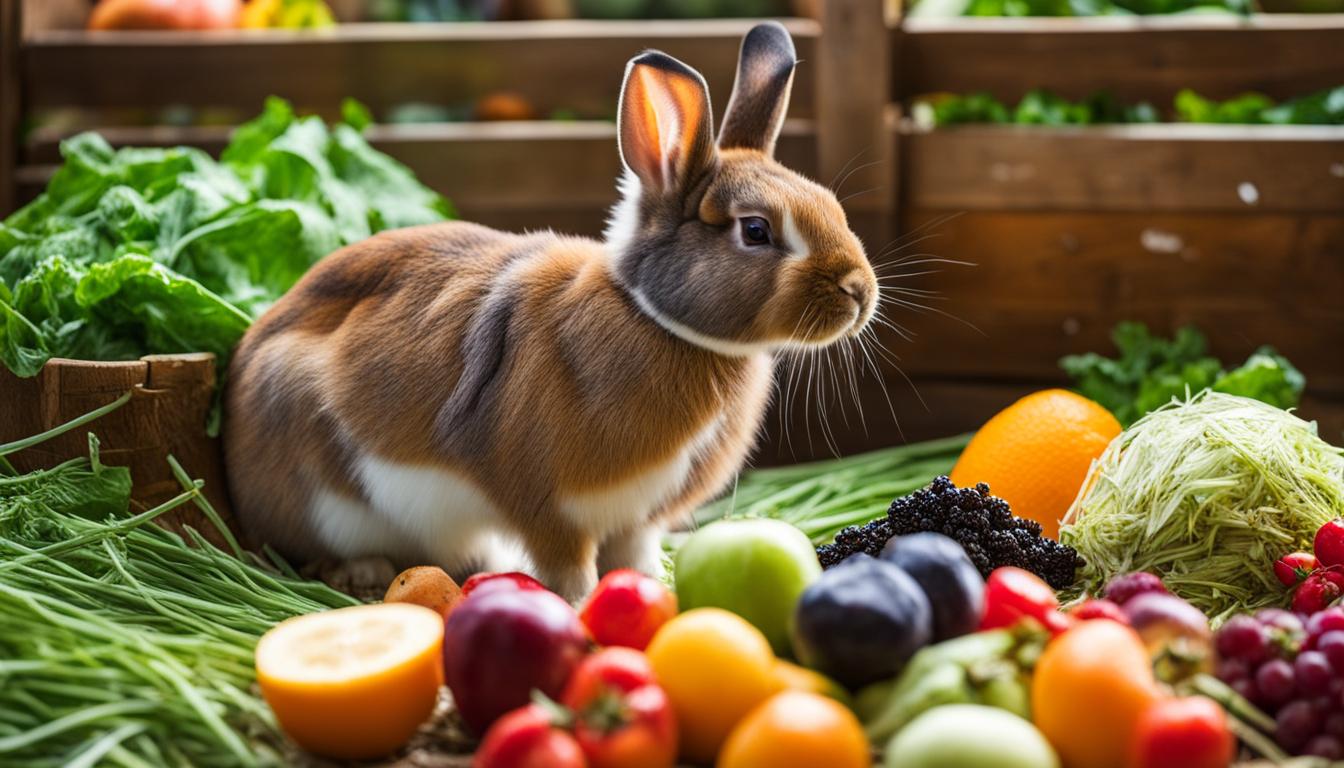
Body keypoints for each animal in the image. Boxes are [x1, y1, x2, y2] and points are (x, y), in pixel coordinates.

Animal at [223, 21, 878, 602]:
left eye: (828, 201)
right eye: (757, 230)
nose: (859, 290)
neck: (656, 320)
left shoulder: (637, 518)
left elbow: (634, 554)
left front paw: (656, 582)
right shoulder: (549, 508)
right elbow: (567, 564)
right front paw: (581, 602)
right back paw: (363, 571)